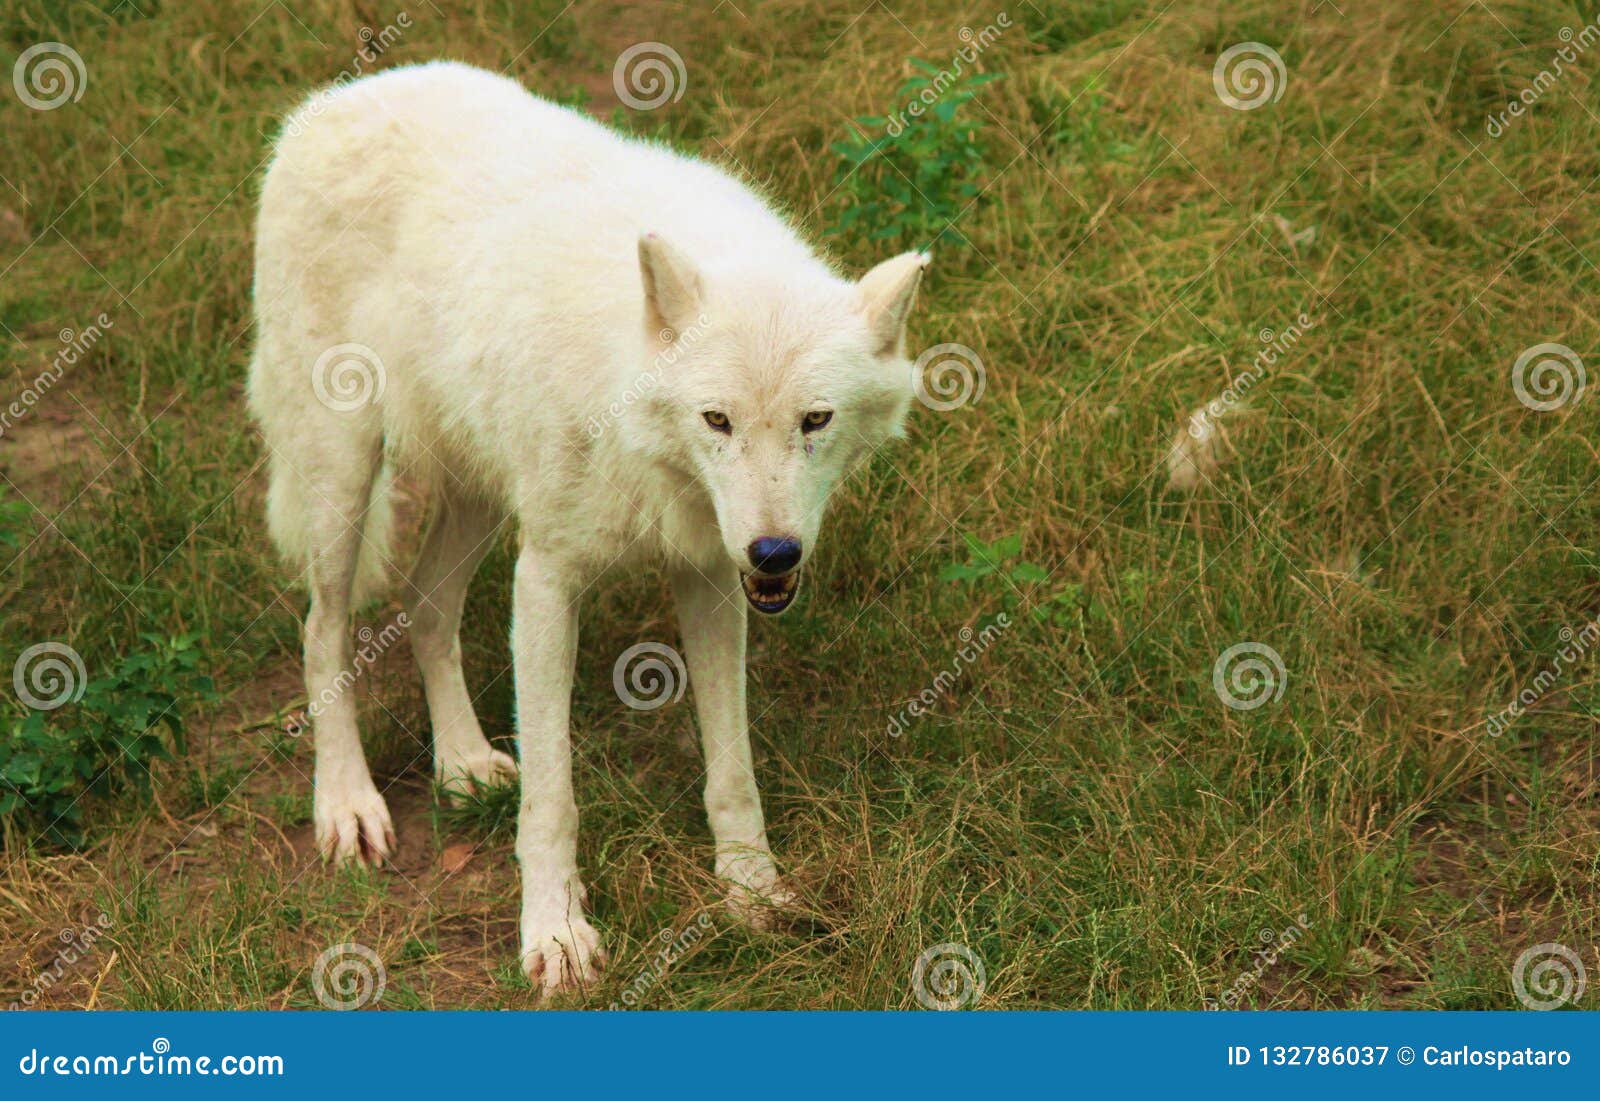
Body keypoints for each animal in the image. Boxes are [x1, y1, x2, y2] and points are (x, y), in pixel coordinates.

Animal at [247, 61, 928, 994]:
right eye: (717, 420)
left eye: (815, 420)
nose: (774, 551)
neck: (631, 402)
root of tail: (333, 99)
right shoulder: (546, 579)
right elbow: (552, 798)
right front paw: (556, 934)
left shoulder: (710, 576)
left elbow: (733, 770)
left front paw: (753, 893)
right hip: (341, 478)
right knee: (323, 631)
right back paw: (347, 804)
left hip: (480, 491)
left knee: (426, 604)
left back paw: (462, 763)